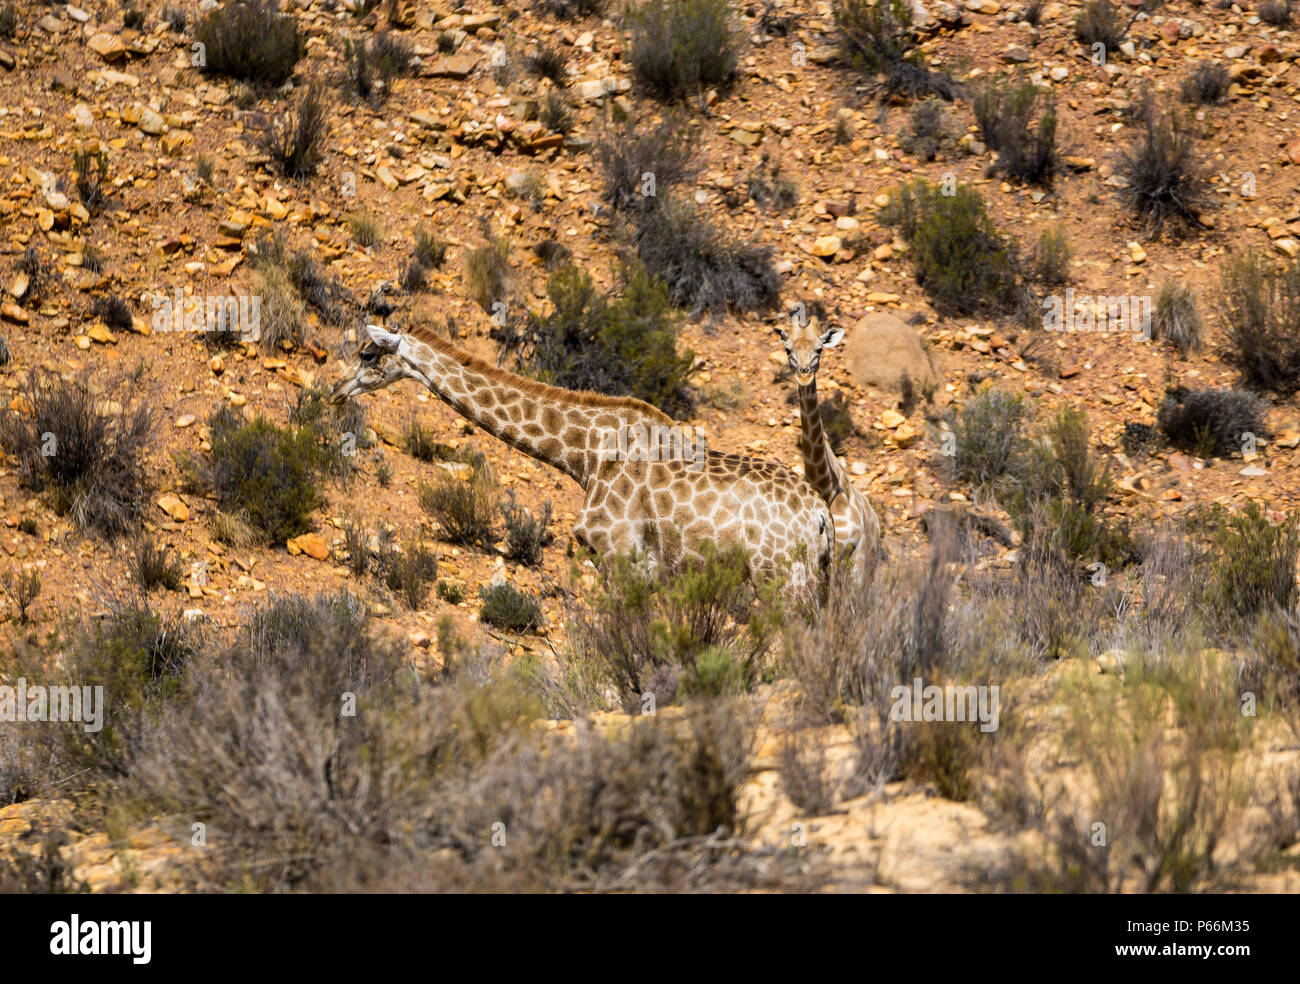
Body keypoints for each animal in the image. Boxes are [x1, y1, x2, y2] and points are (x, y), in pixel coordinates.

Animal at [330, 323, 835, 589]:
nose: (334, 391)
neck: (586, 456)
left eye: (368, 354)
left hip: (781, 577)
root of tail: (820, 514)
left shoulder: (618, 554)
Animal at [775, 319, 881, 586]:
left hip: (866, 566)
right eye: (788, 349)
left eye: (819, 349)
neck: (825, 486)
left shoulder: (852, 553)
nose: (804, 374)